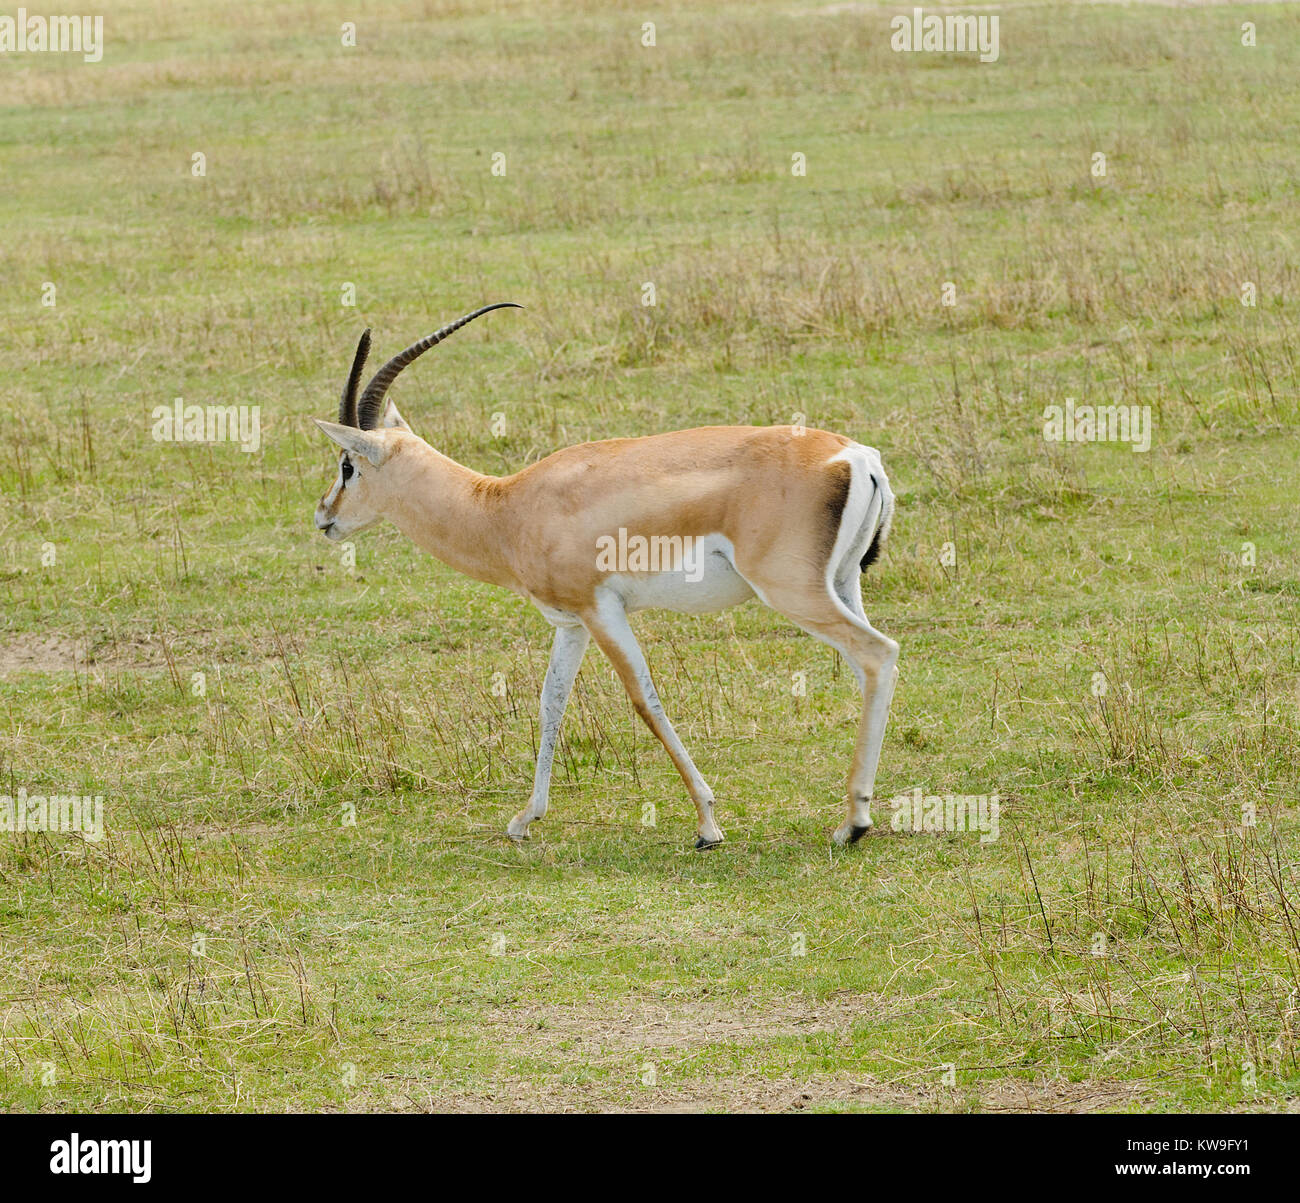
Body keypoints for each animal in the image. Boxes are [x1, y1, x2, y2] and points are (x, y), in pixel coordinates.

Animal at [313, 304, 899, 850]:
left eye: (347, 465)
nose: (323, 516)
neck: (506, 508)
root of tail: (855, 456)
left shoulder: (600, 610)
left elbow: (644, 699)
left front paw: (707, 825)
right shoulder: (571, 623)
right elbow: (551, 702)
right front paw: (526, 819)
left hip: (793, 593)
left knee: (877, 653)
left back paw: (852, 825)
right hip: (841, 585)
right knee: (871, 667)